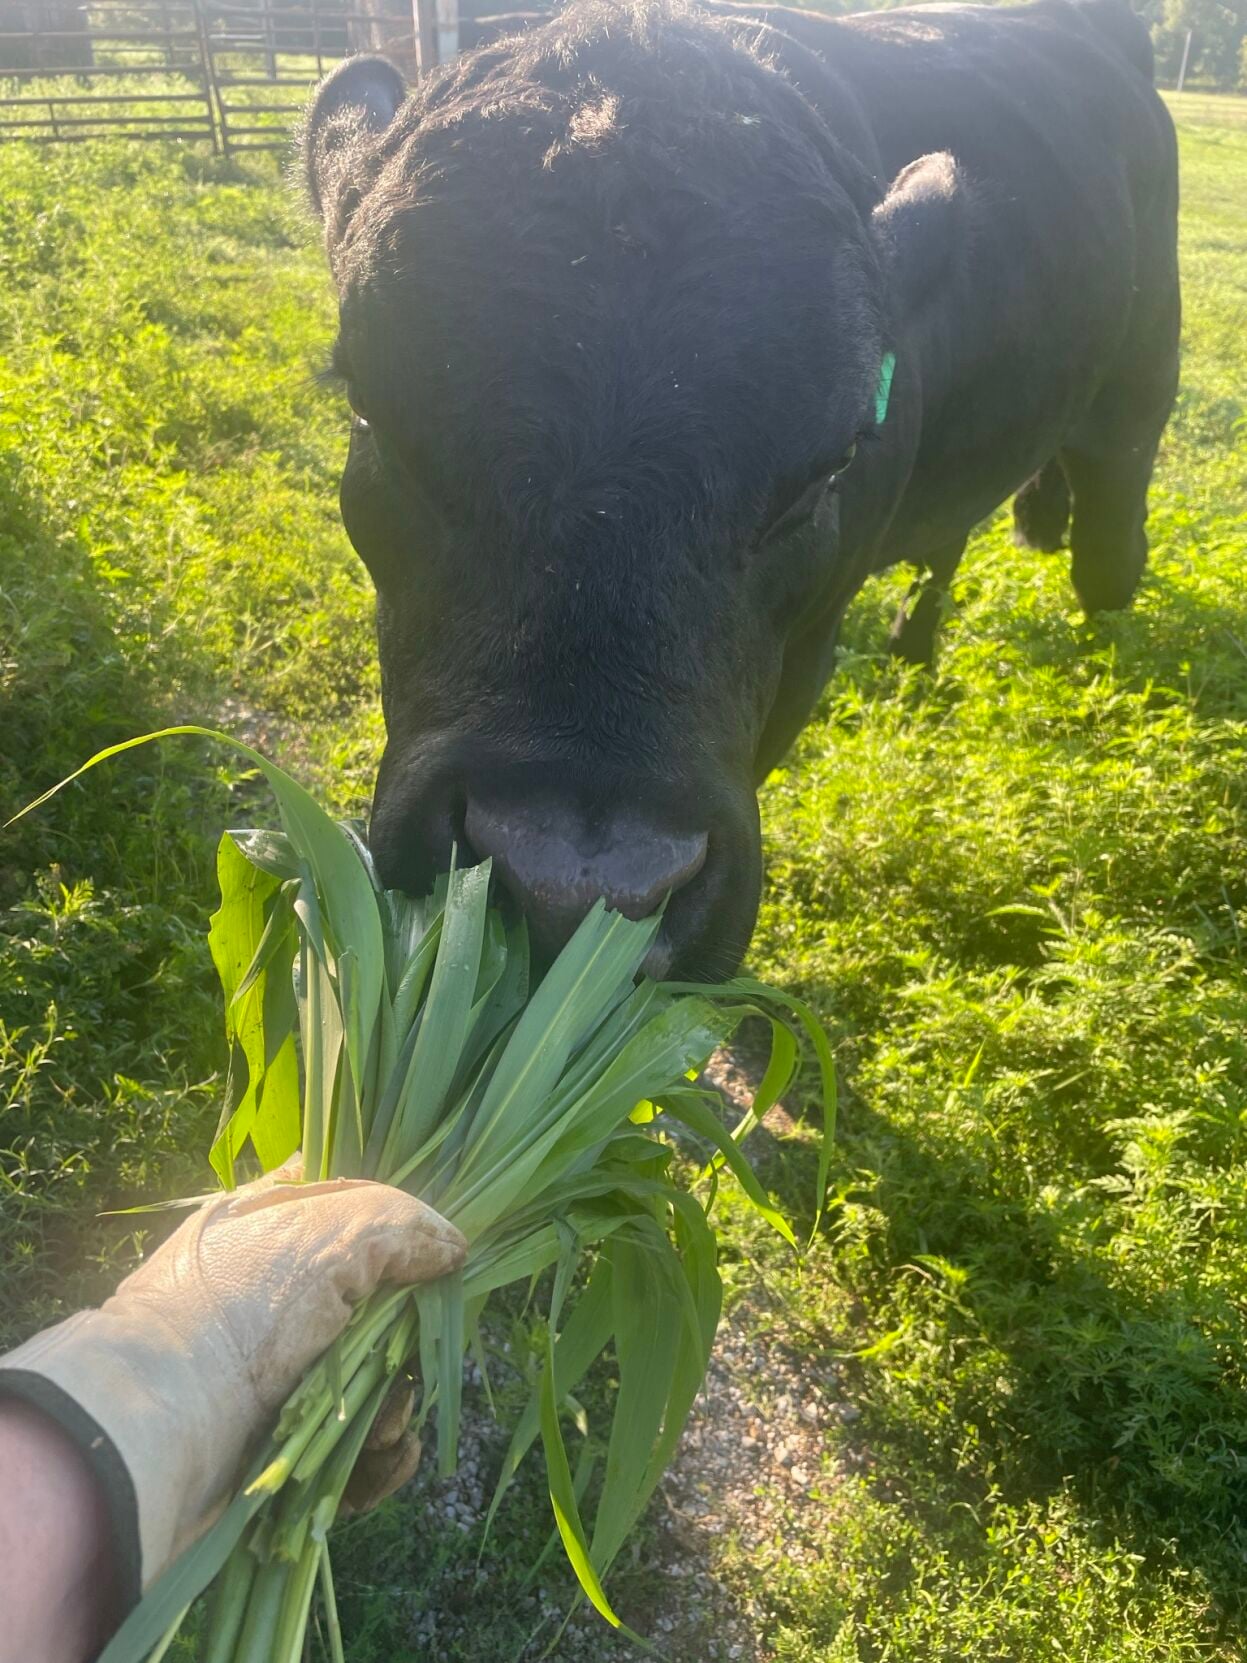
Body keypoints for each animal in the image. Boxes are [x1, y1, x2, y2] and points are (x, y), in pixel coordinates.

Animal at [301, 0, 1180, 977]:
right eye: (370, 411)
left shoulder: (807, 654)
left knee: (1106, 558)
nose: (571, 885)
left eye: (831, 465)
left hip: (1137, 404)